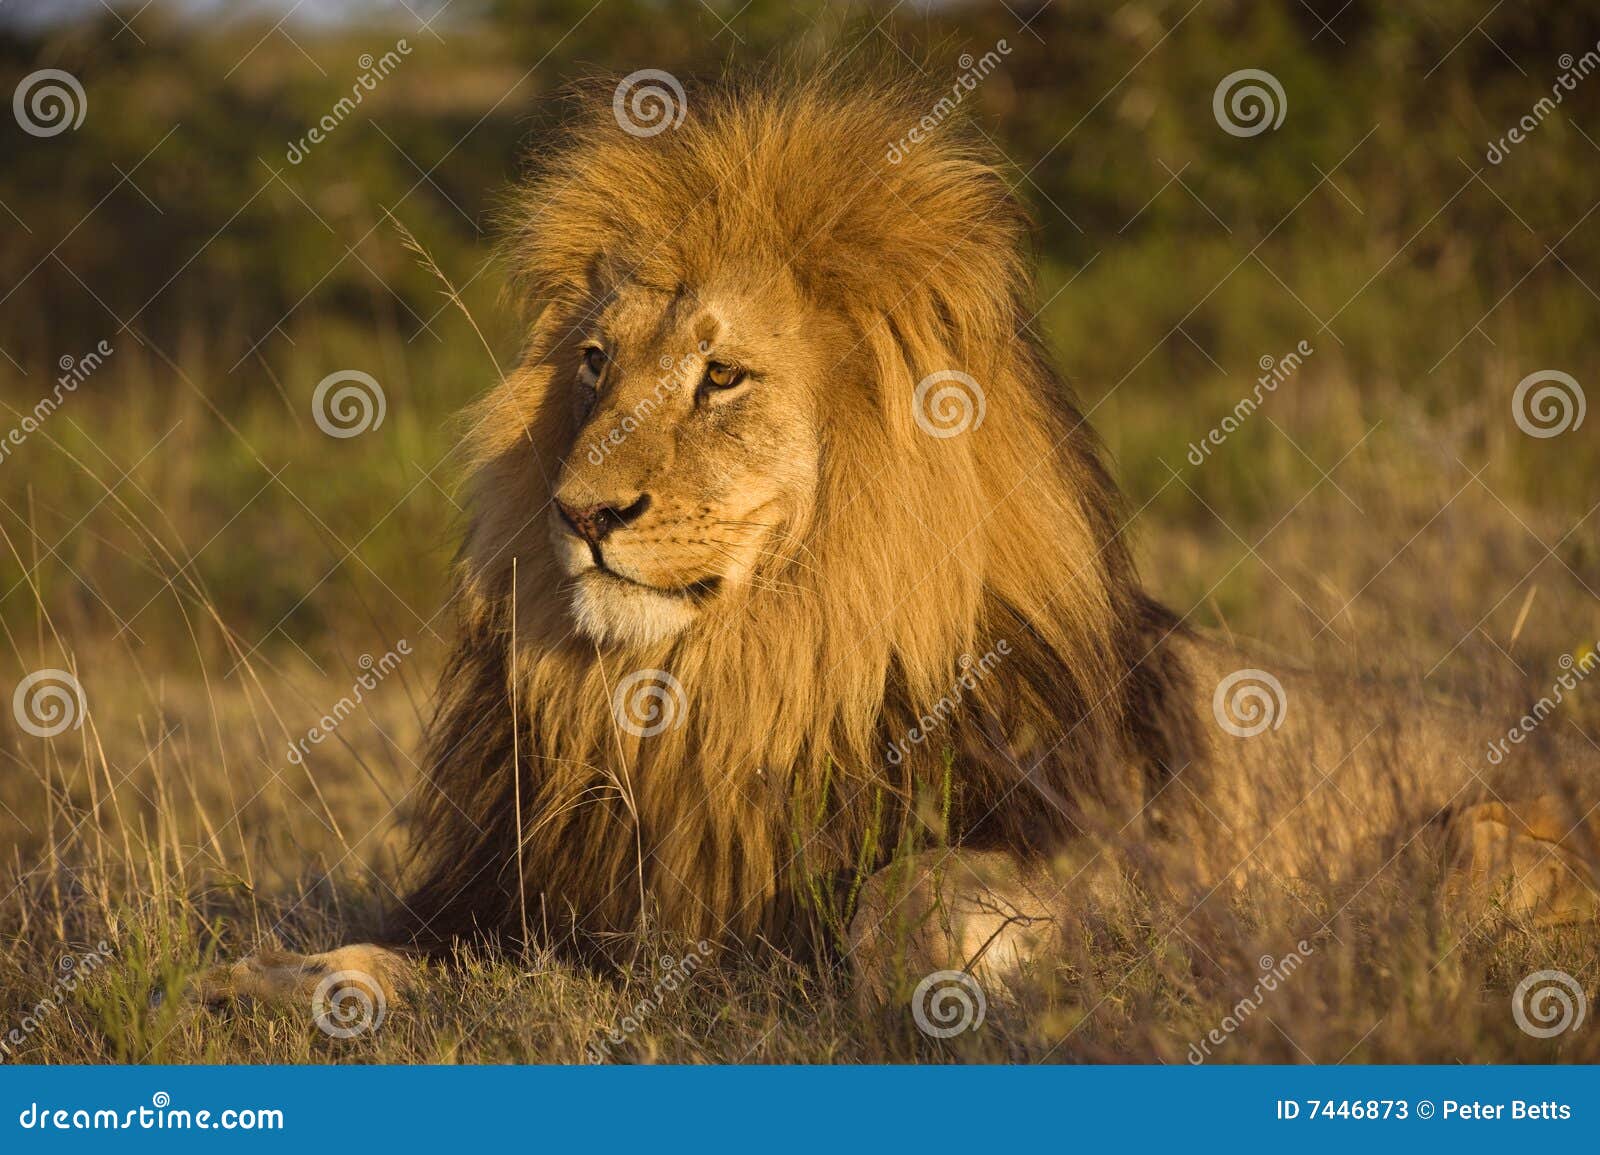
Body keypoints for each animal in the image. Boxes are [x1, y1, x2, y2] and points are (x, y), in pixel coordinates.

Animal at [202, 72, 1599, 1020]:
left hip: (1482, 838)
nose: (580, 514)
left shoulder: (1119, 873)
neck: (738, 679)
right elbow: (379, 948)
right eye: (594, 363)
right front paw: (262, 978)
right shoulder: (532, 892)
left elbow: (905, 901)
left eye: (720, 376)